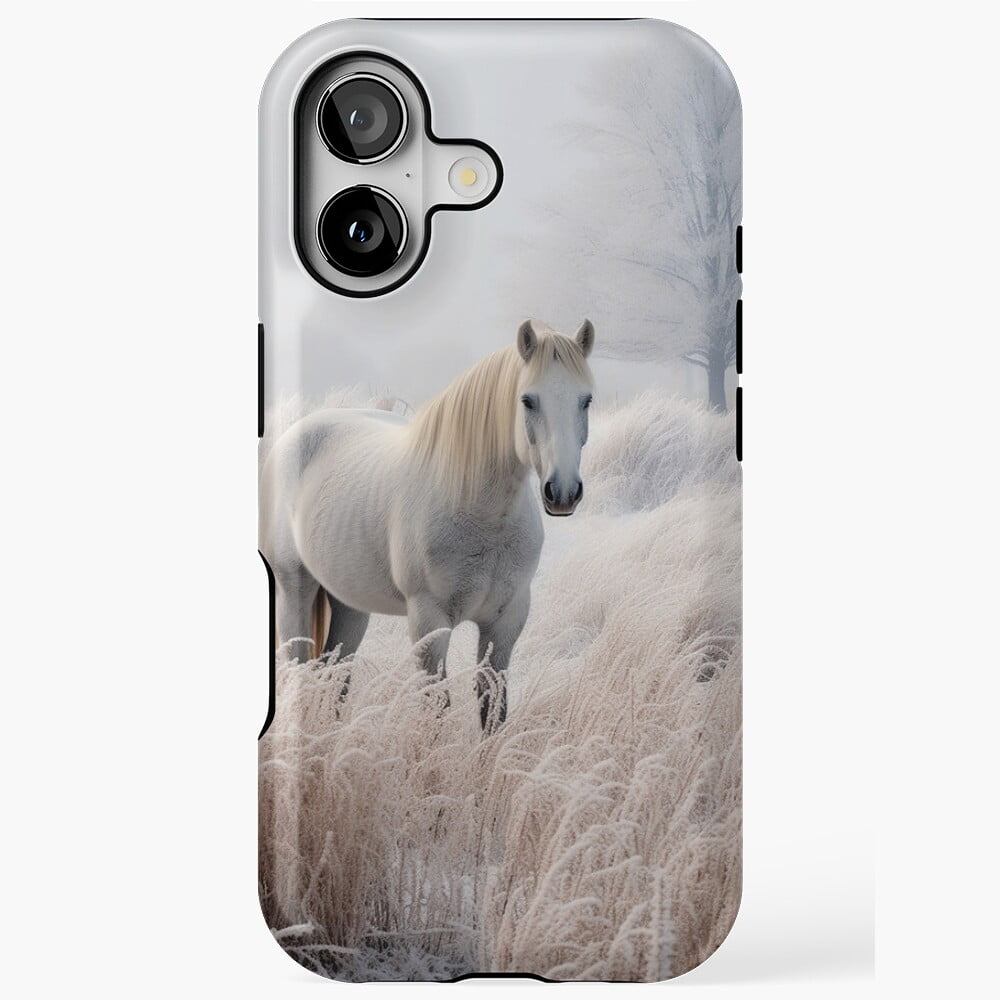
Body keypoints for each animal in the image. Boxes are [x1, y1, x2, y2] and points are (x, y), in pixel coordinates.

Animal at [259, 318, 596, 730]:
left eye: (586, 399)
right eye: (528, 400)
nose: (563, 492)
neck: (483, 516)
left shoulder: (506, 621)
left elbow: (493, 709)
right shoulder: (430, 622)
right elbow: (436, 706)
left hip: (350, 604)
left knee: (334, 674)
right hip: (294, 589)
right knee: (299, 667)